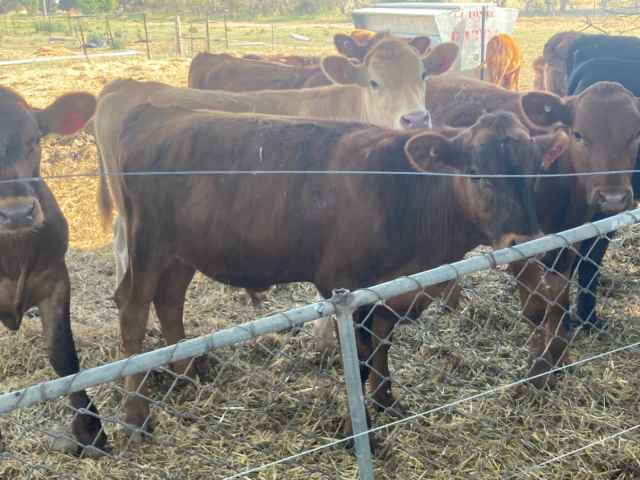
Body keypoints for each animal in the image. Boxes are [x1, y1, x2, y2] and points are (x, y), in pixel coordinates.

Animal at [110, 105, 563, 439]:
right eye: (477, 173)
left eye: (536, 171)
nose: (525, 237)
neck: (406, 194)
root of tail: (156, 112)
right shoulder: (346, 286)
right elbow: (359, 359)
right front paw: (361, 430)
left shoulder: (389, 292)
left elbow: (383, 344)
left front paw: (387, 401)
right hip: (147, 241)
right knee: (133, 311)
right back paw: (136, 419)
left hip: (181, 252)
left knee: (170, 300)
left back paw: (187, 376)